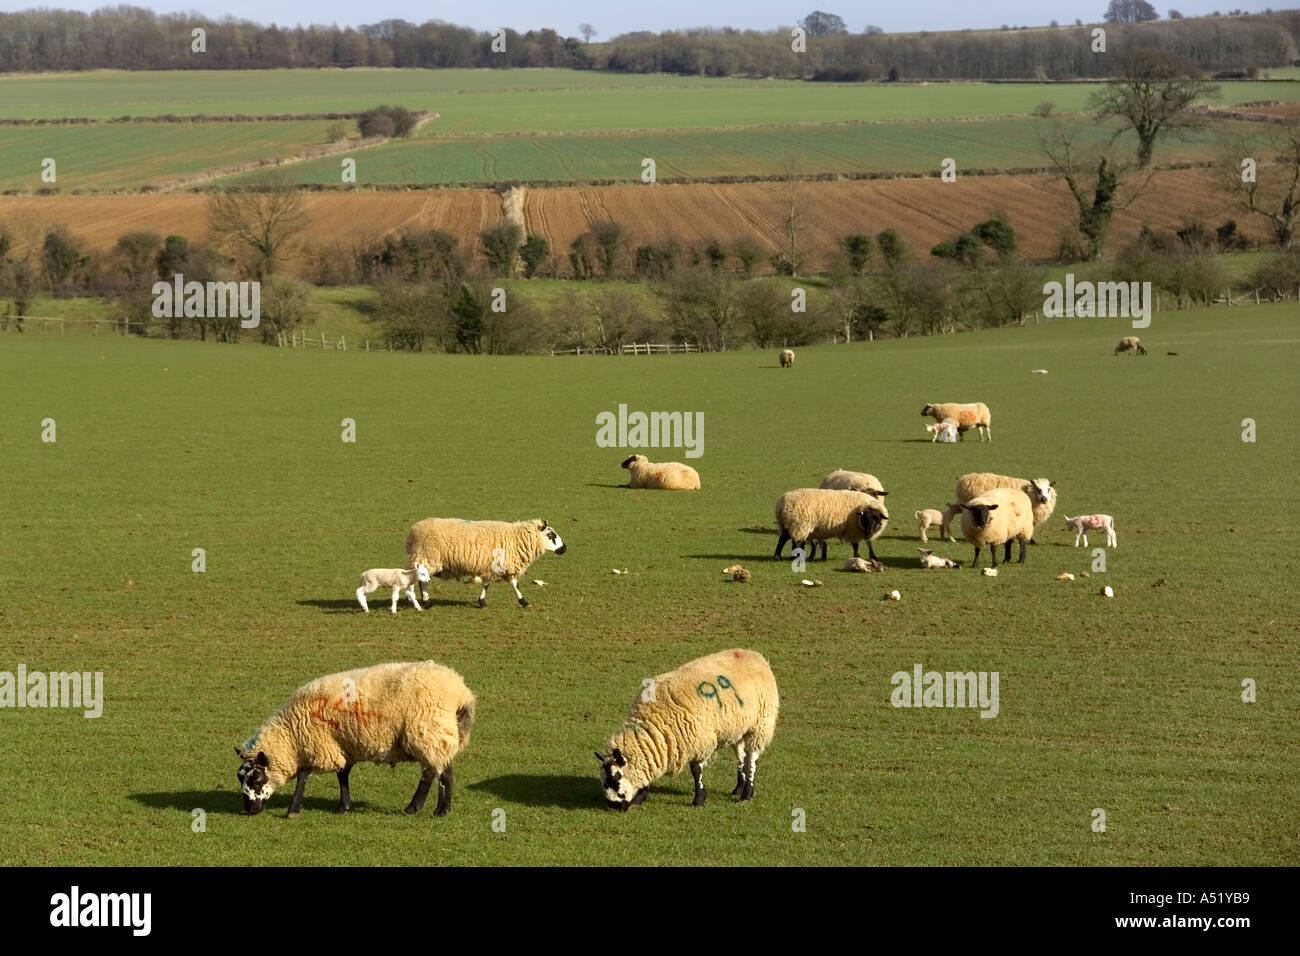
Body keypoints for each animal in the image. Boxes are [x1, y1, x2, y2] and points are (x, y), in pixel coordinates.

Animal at [234, 660, 475, 818]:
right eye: (240, 778)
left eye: (256, 780)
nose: (248, 810)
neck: (292, 734)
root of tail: (461, 692)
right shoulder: (342, 746)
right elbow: (342, 775)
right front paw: (344, 807)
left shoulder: (322, 746)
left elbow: (304, 774)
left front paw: (293, 809)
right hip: (438, 734)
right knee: (442, 771)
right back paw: (437, 809)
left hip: (427, 732)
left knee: (432, 773)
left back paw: (419, 808)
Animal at [405, 518, 565, 608]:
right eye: (551, 535)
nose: (565, 548)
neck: (517, 539)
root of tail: (413, 531)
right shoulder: (495, 565)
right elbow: (498, 584)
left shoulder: (496, 566)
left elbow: (506, 584)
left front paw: (522, 601)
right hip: (427, 557)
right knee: (421, 581)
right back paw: (426, 602)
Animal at [596, 648, 778, 810]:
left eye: (616, 778)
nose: (613, 807)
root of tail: (756, 656)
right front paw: (640, 797)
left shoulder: (699, 741)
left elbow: (696, 771)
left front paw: (699, 799)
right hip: (739, 727)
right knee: (741, 756)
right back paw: (738, 788)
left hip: (760, 724)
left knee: (751, 759)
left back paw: (746, 793)